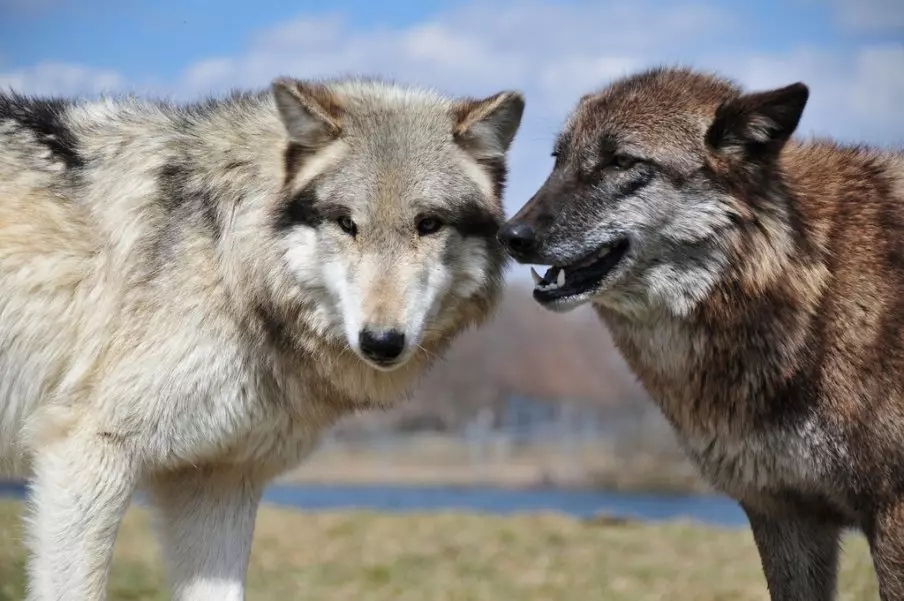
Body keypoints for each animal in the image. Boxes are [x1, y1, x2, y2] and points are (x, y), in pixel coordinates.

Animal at [0, 76, 524, 600]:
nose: (380, 341)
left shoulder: (218, 479)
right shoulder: (86, 452)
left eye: (428, 224)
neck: (227, 257)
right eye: (347, 224)